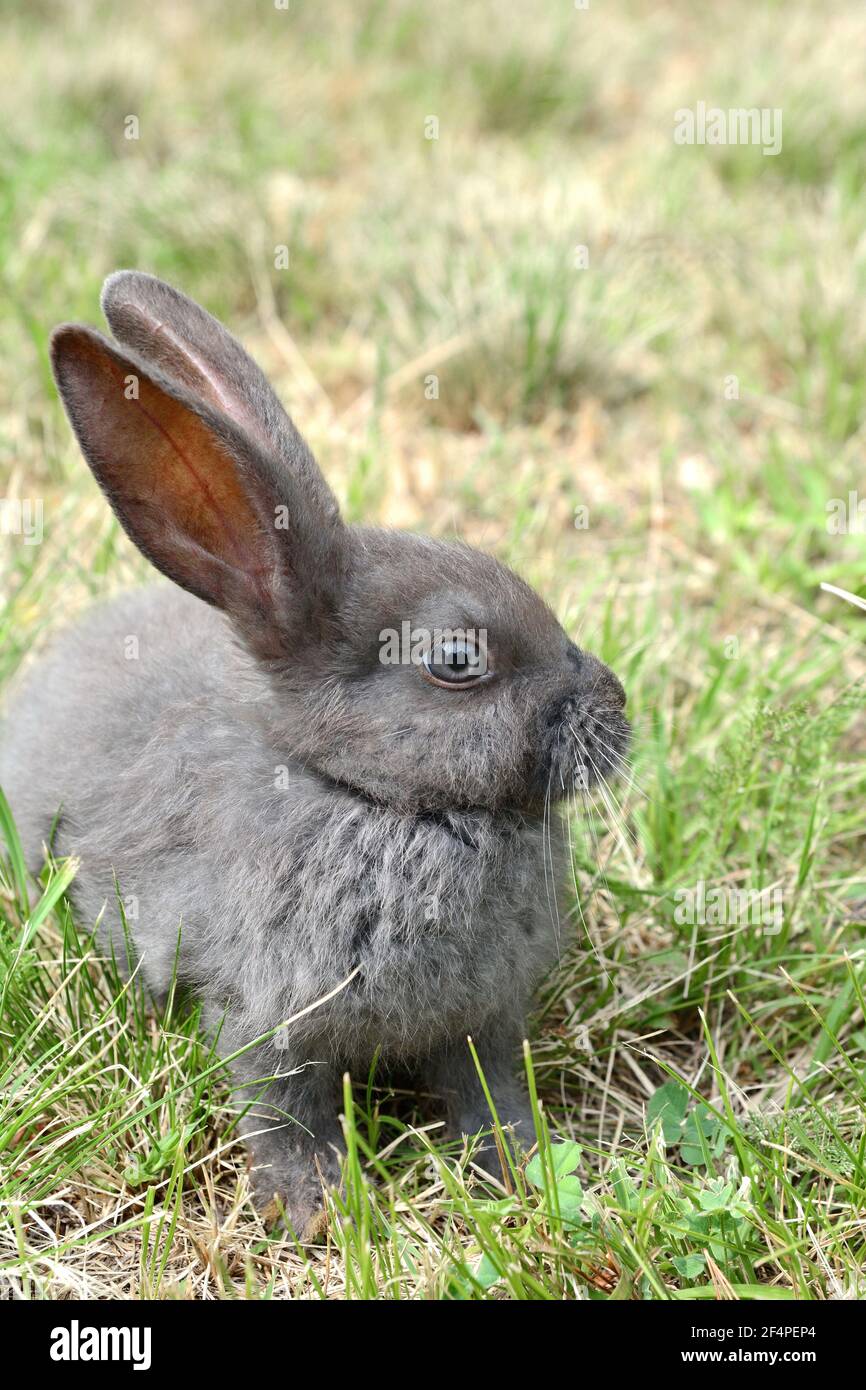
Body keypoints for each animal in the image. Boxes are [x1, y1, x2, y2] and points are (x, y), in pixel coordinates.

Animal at [0, 272, 630, 1237]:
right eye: (457, 661)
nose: (615, 706)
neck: (373, 796)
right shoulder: (269, 1023)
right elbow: (285, 1110)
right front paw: (316, 1207)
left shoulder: (483, 1024)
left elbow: (488, 1094)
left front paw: (525, 1170)